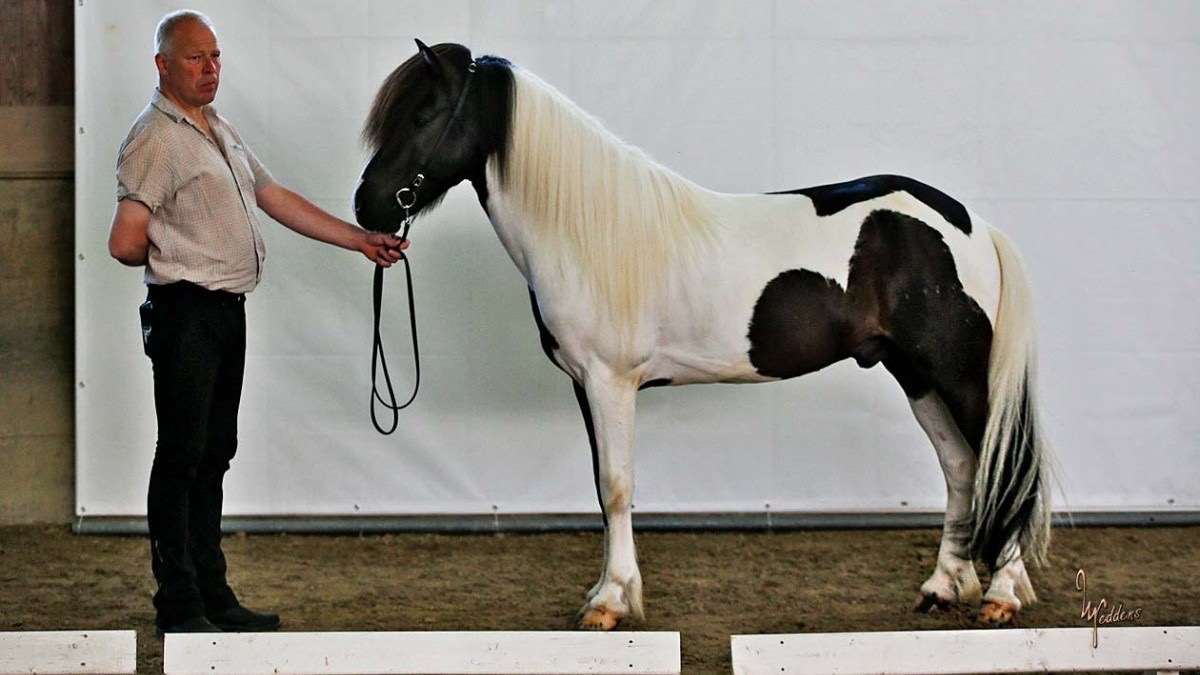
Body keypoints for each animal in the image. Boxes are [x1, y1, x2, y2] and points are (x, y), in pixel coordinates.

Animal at [353, 41, 1052, 630]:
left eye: (424, 113)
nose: (369, 206)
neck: (587, 231)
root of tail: (968, 222)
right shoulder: (585, 386)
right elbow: (601, 489)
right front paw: (606, 592)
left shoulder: (610, 382)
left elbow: (617, 484)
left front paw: (611, 604)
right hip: (915, 373)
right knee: (961, 466)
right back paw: (942, 587)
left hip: (959, 372)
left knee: (1008, 460)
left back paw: (1001, 594)